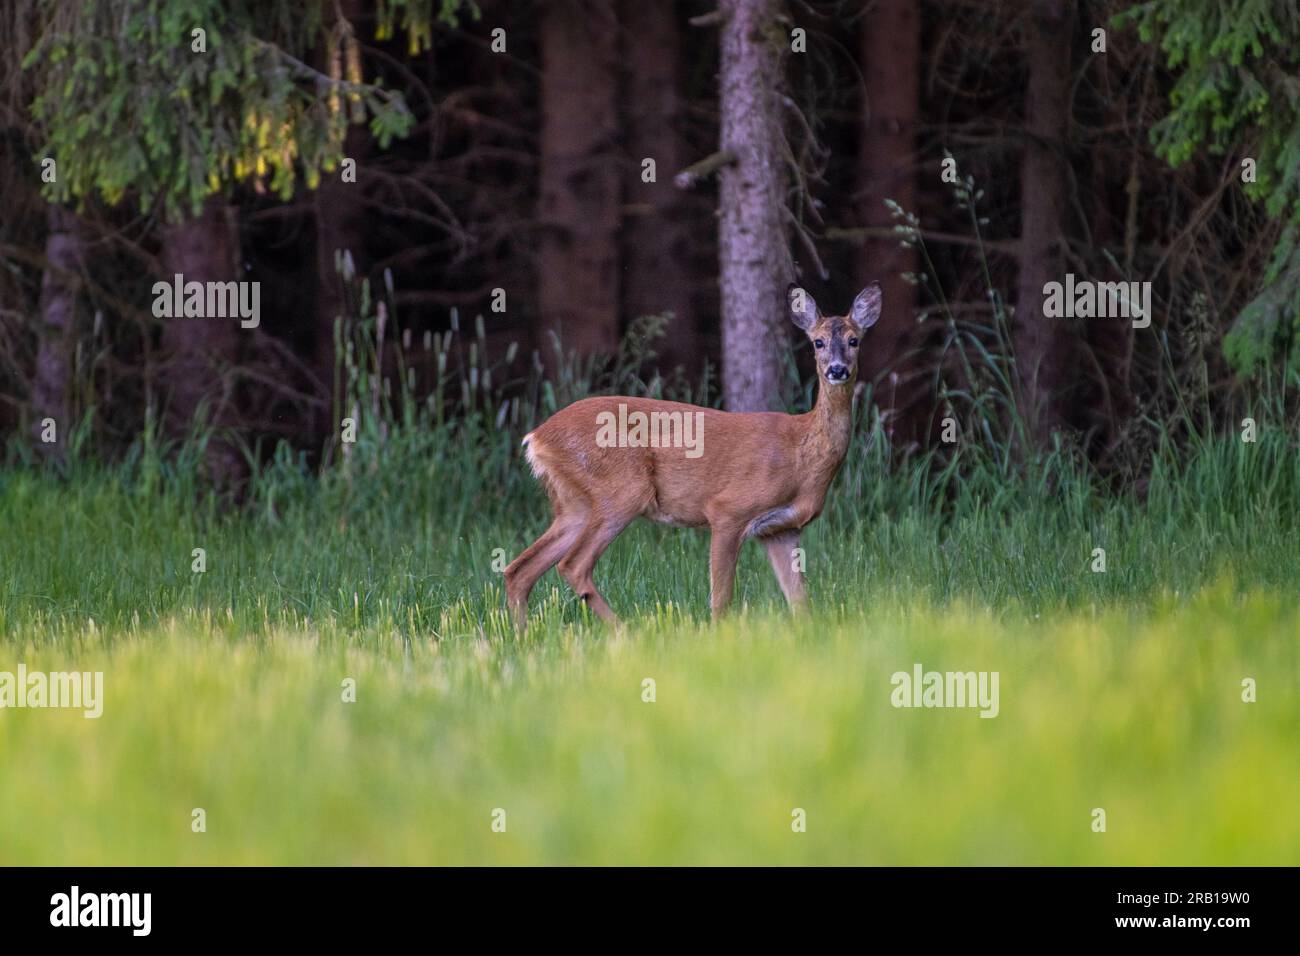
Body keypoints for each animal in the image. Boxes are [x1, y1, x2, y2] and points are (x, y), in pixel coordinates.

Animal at [504, 282, 881, 629]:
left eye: (854, 341)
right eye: (817, 342)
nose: (837, 369)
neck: (800, 454)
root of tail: (536, 437)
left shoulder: (781, 529)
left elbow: (800, 602)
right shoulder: (728, 509)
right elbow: (721, 599)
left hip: (574, 504)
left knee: (518, 569)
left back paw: (524, 638)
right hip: (621, 489)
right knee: (572, 565)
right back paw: (625, 632)